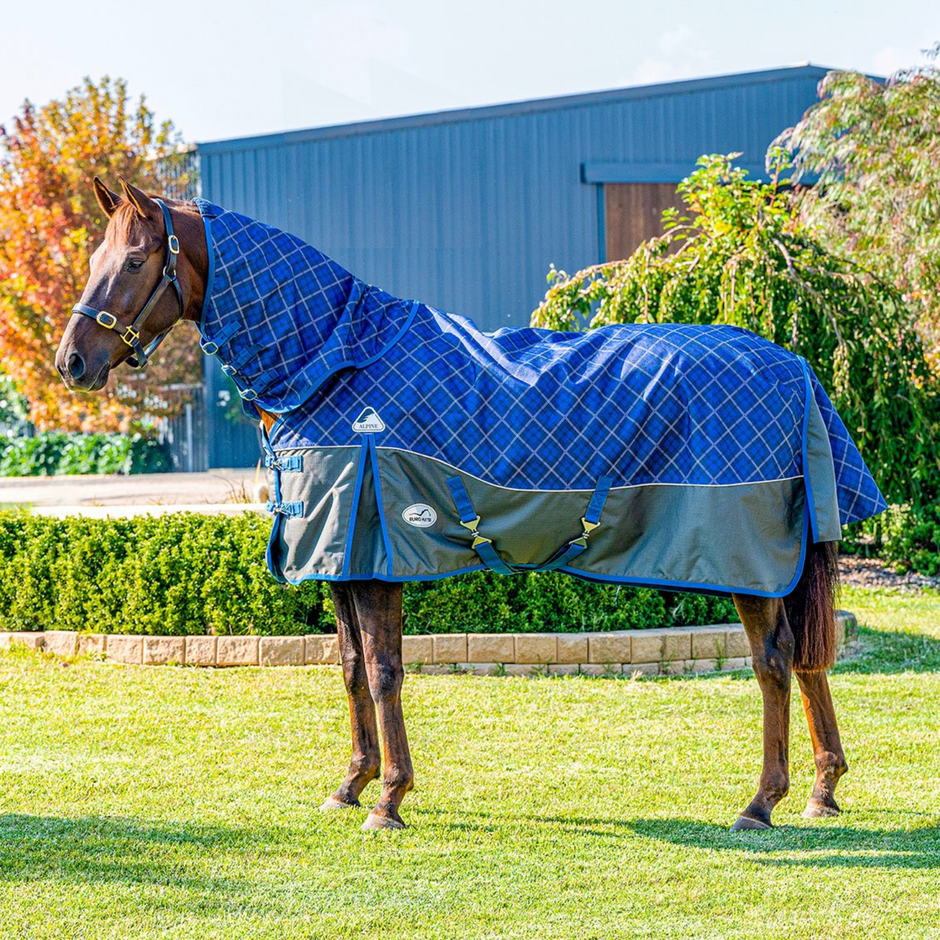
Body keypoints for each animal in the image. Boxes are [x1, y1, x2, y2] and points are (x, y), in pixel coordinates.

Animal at [55, 177, 868, 833]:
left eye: (134, 262)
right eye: (95, 260)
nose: (72, 362)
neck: (333, 364)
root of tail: (794, 367)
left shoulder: (374, 554)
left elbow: (385, 670)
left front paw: (388, 800)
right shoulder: (339, 556)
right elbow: (349, 666)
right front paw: (350, 785)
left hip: (746, 562)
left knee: (774, 661)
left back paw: (761, 802)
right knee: (806, 659)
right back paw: (821, 791)